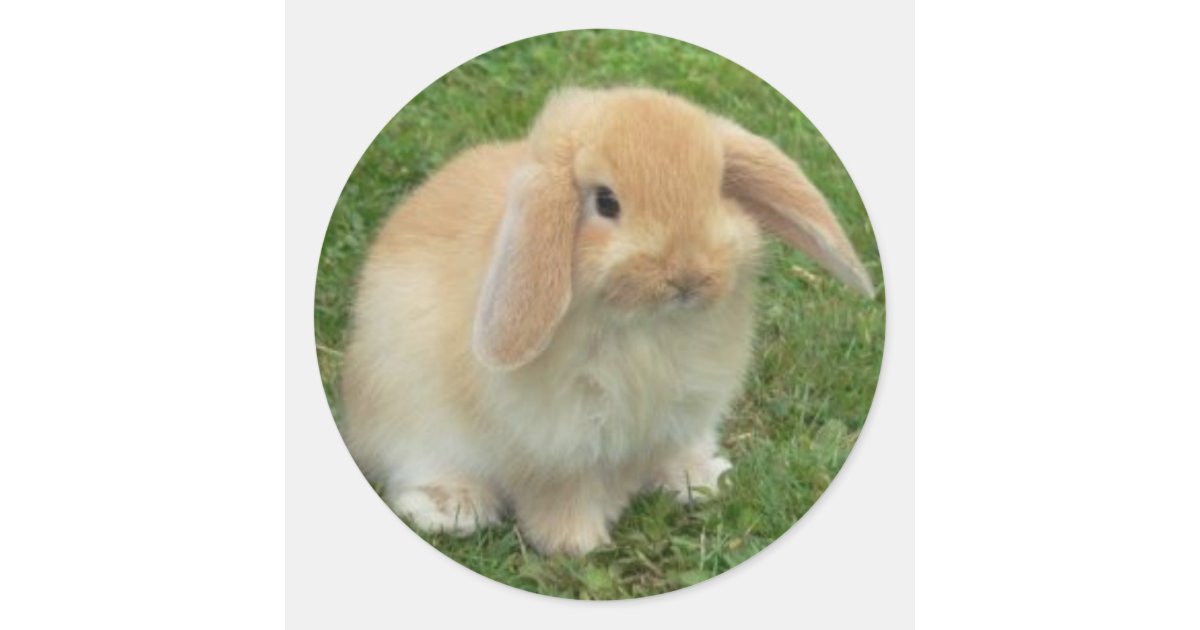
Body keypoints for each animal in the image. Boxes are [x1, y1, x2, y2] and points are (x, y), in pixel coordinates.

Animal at [337, 87, 875, 556]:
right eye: (606, 202)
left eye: (718, 188)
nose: (688, 276)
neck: (646, 327)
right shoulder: (557, 447)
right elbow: (562, 496)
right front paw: (577, 545)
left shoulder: (678, 416)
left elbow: (664, 452)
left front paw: (695, 482)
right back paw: (451, 509)